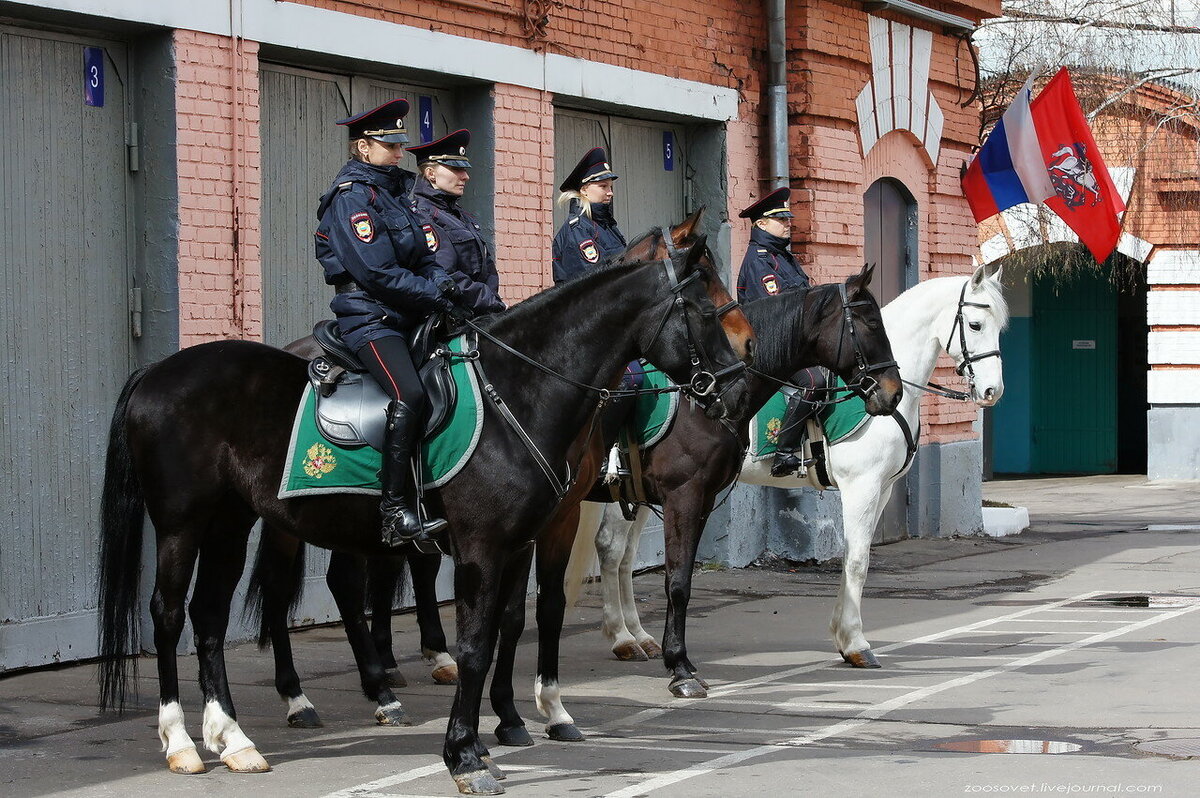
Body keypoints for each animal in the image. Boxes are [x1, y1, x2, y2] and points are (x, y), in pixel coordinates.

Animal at [96, 236, 748, 792]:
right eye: (704, 309)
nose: (735, 387)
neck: (522, 389)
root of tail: (155, 373)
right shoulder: (484, 548)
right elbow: (475, 646)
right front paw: (466, 755)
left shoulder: (519, 543)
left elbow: (511, 624)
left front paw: (500, 731)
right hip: (183, 523)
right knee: (171, 614)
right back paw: (185, 741)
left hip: (232, 523)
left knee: (209, 616)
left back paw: (233, 739)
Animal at [571, 267, 1003, 672]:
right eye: (975, 325)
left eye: (1000, 326)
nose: (991, 392)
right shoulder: (861, 486)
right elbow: (858, 562)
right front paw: (857, 643)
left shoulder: (882, 491)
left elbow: (854, 558)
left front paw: (843, 637)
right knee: (611, 548)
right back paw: (623, 637)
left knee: (626, 555)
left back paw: (638, 636)